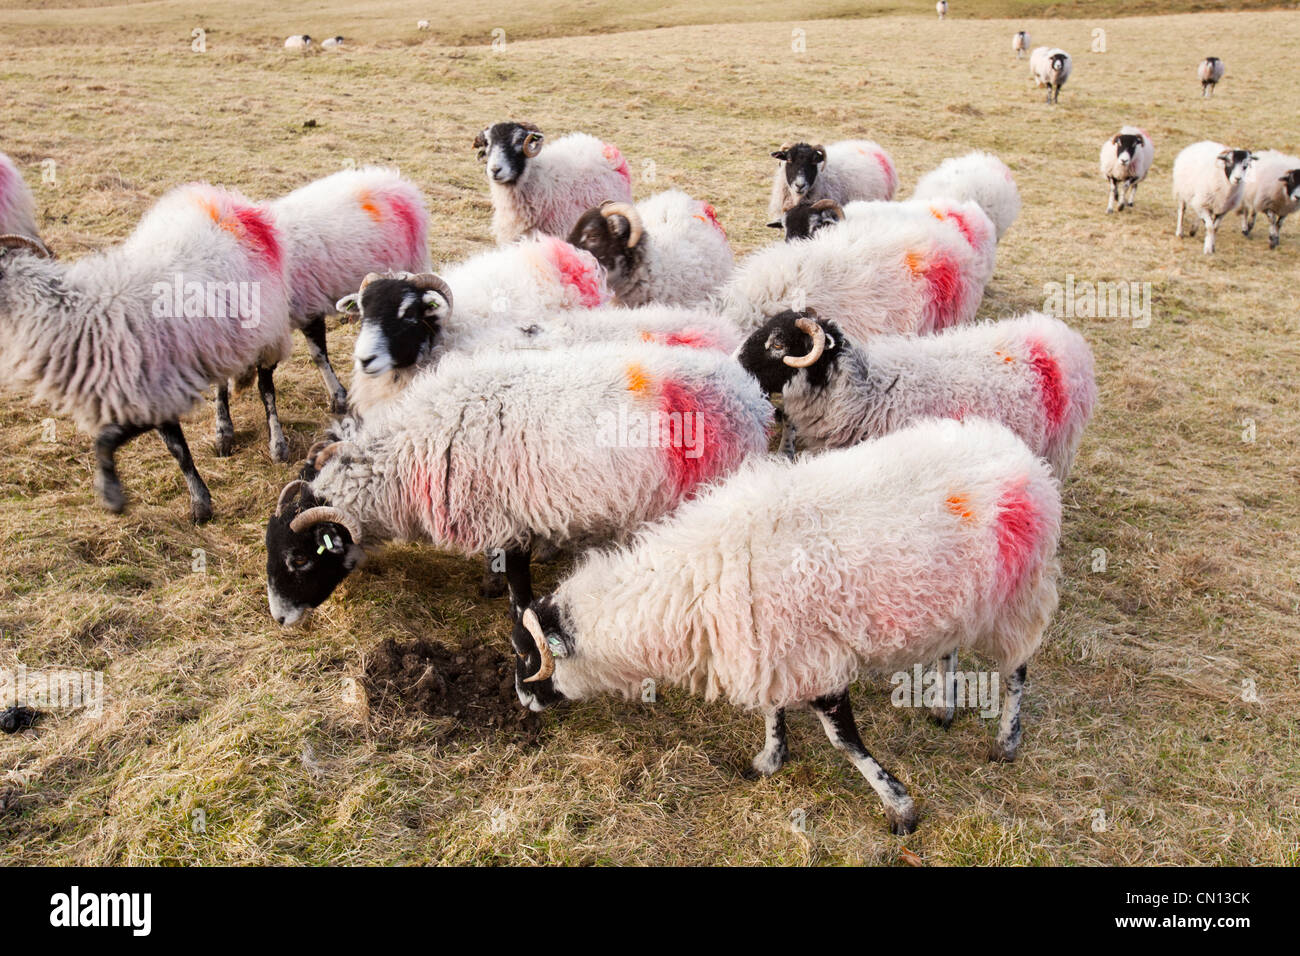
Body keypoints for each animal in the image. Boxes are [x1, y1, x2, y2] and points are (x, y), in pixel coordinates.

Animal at [0, 184, 294, 522]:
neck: (84, 320)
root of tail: (229, 203)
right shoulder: (149, 394)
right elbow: (170, 448)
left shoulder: (155, 394)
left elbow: (126, 443)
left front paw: (117, 497)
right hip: (221, 340)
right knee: (223, 382)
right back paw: (223, 432)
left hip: (267, 332)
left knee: (266, 388)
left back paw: (277, 444)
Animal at [264, 342, 773, 625]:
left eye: (298, 559)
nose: (280, 618)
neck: (414, 453)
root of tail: (748, 397)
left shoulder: (510, 516)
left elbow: (518, 588)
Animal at [510, 415, 1062, 834]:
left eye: (528, 656)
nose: (521, 699)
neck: (692, 582)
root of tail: (1018, 453)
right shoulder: (772, 651)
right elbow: (773, 711)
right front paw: (771, 760)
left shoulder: (816, 659)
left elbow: (845, 742)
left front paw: (900, 809)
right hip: (962, 597)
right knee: (951, 647)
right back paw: (944, 708)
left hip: (1022, 596)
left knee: (1016, 673)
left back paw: (1006, 743)